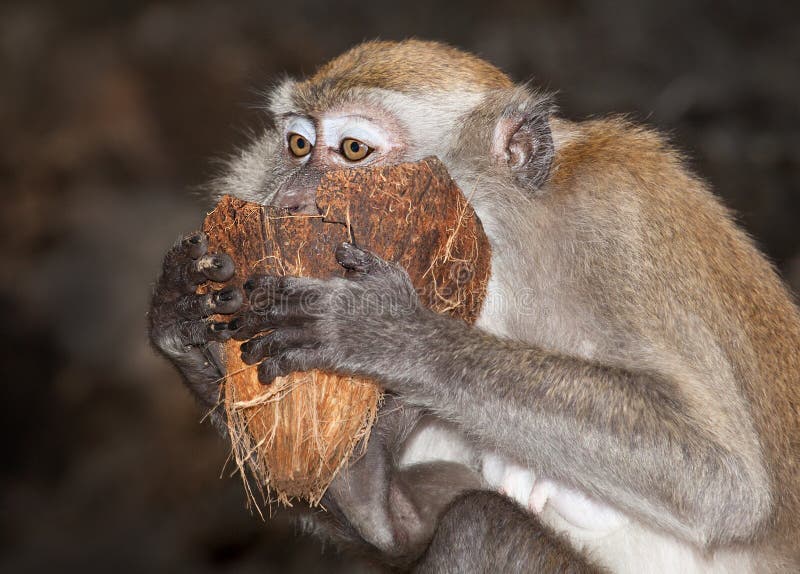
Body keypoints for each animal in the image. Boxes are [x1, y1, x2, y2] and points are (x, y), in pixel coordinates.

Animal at [148, 40, 800, 572]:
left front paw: (383, 333)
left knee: (479, 526)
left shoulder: (619, 220)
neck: (506, 264)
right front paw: (188, 325)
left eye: (353, 149)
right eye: (298, 145)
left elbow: (721, 479)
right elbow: (400, 537)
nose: (288, 201)